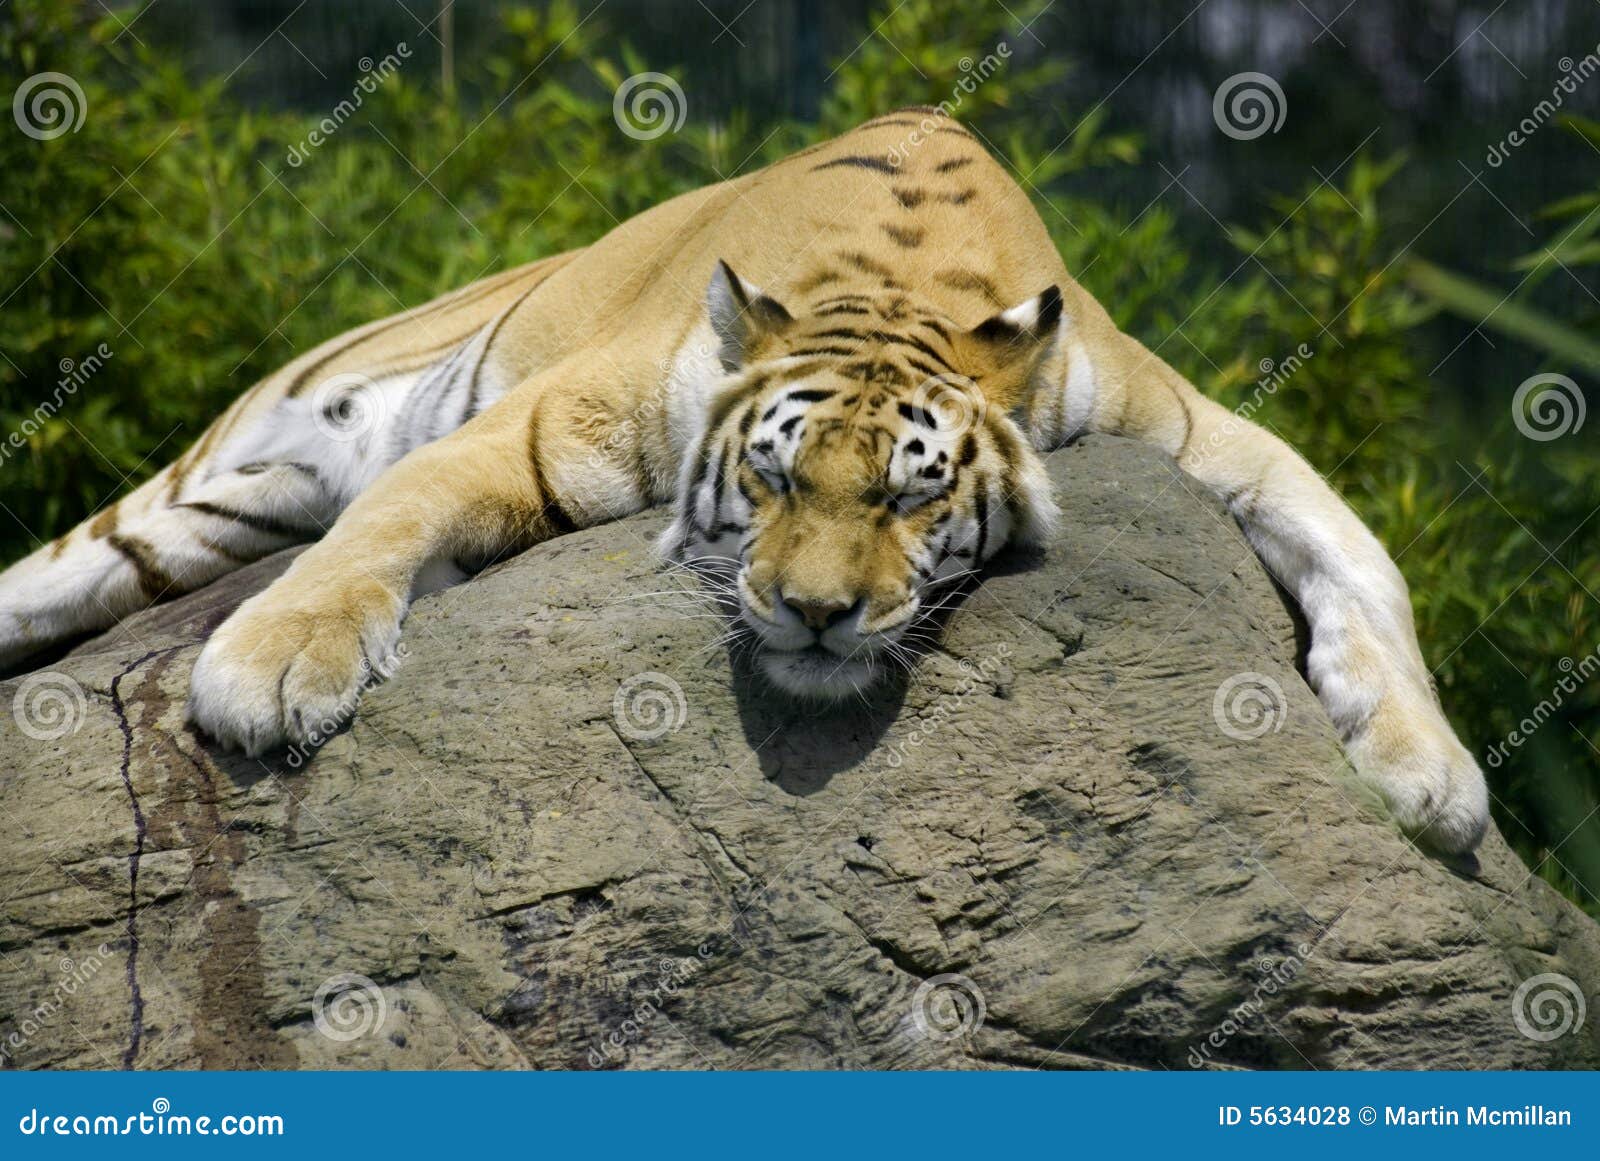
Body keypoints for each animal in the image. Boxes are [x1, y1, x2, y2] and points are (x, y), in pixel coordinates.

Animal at [0, 108, 1489, 853]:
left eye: (911, 496)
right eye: (768, 479)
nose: (817, 618)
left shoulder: (1194, 428)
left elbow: (1364, 562)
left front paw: (1429, 779)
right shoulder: (539, 424)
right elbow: (392, 513)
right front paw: (273, 669)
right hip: (191, 486)